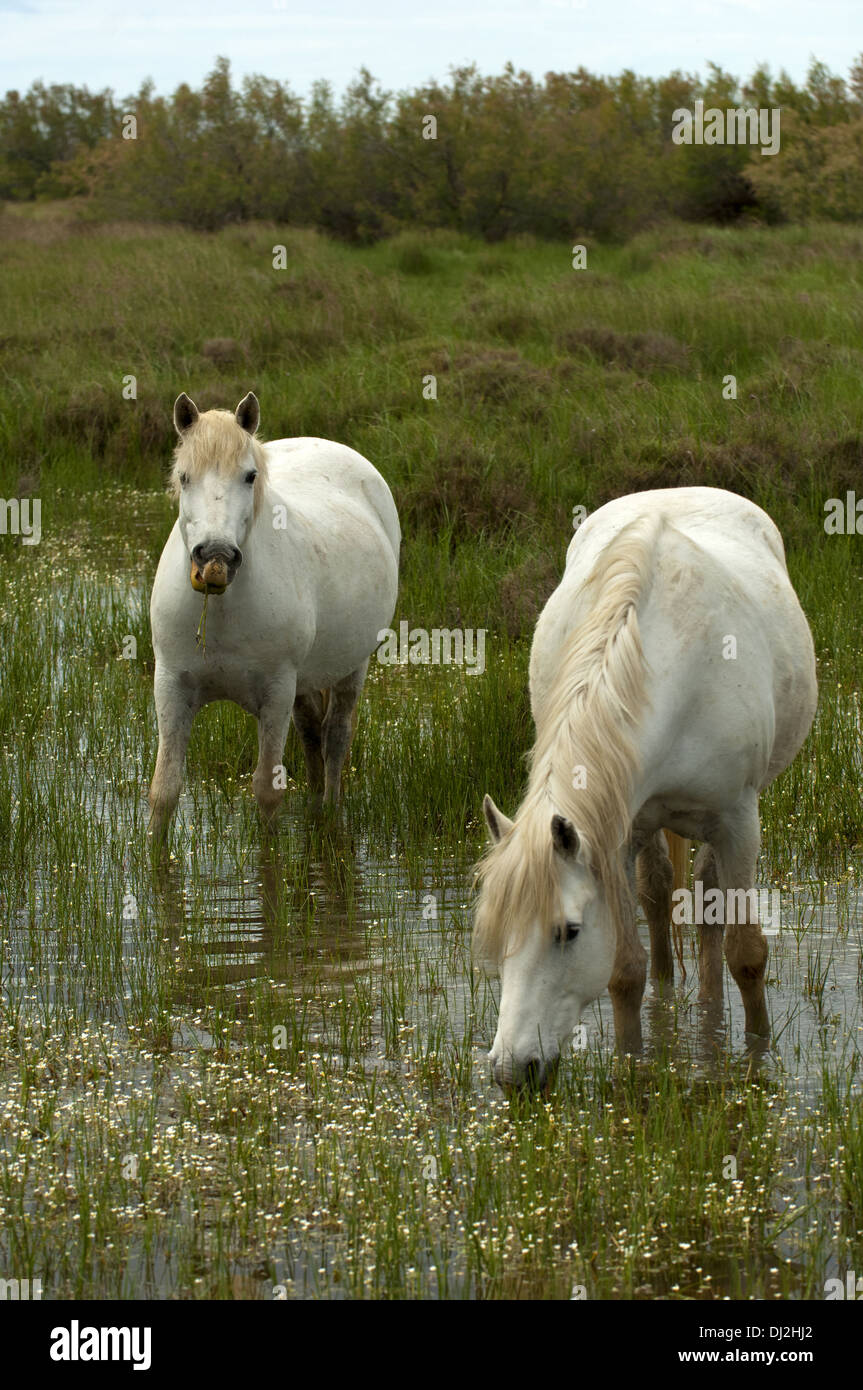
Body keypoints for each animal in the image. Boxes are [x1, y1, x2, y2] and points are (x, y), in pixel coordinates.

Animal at [148, 392, 400, 840]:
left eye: (250, 477)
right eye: (183, 476)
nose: (216, 556)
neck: (224, 610)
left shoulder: (276, 691)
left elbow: (267, 791)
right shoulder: (171, 686)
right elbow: (165, 791)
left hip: (353, 667)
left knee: (335, 736)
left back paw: (329, 811)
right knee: (311, 732)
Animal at [474, 486, 817, 1093]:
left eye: (568, 932)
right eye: (498, 933)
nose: (513, 1070)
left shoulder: (739, 824)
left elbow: (747, 955)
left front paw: (757, 1056)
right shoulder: (615, 832)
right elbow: (624, 972)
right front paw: (632, 1068)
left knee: (707, 903)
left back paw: (708, 1008)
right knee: (658, 897)